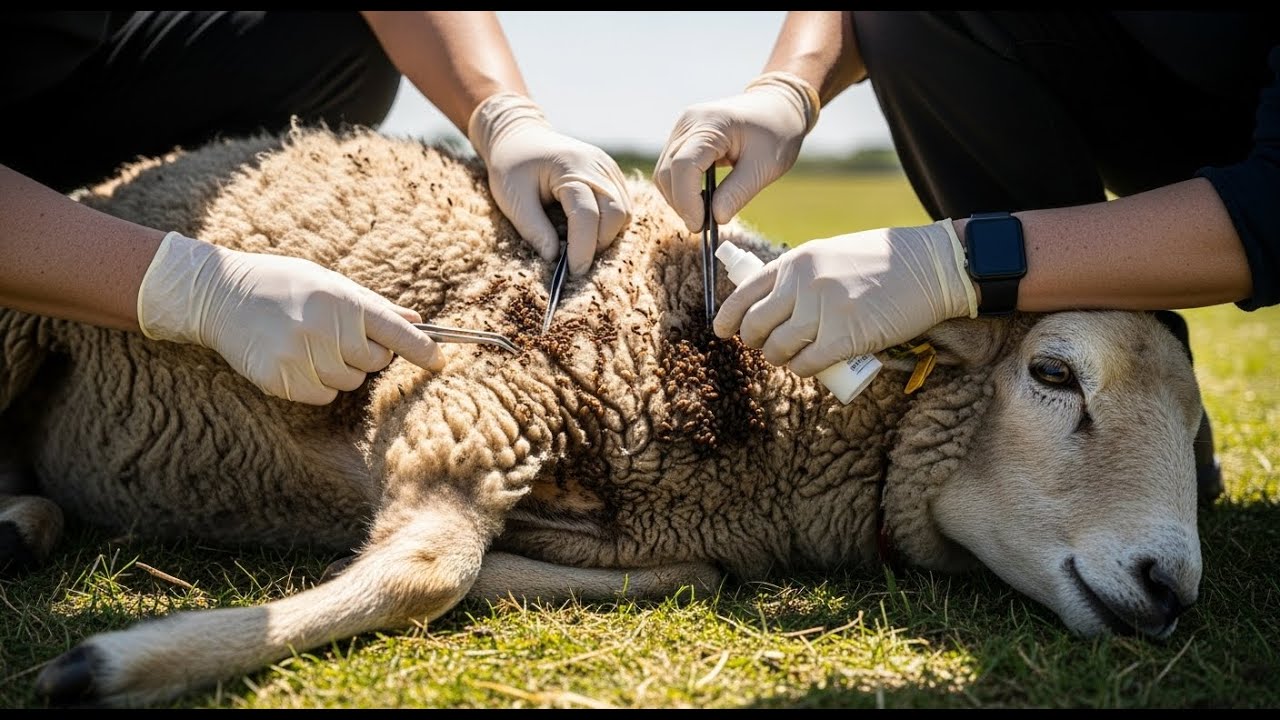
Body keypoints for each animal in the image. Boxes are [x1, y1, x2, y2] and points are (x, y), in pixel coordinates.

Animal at [0, 126, 1204, 707]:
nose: (1168, 585)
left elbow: (689, 577)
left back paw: (22, 523)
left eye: (1197, 431)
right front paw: (110, 667)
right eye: (1054, 374)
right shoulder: (474, 390)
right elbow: (425, 571)